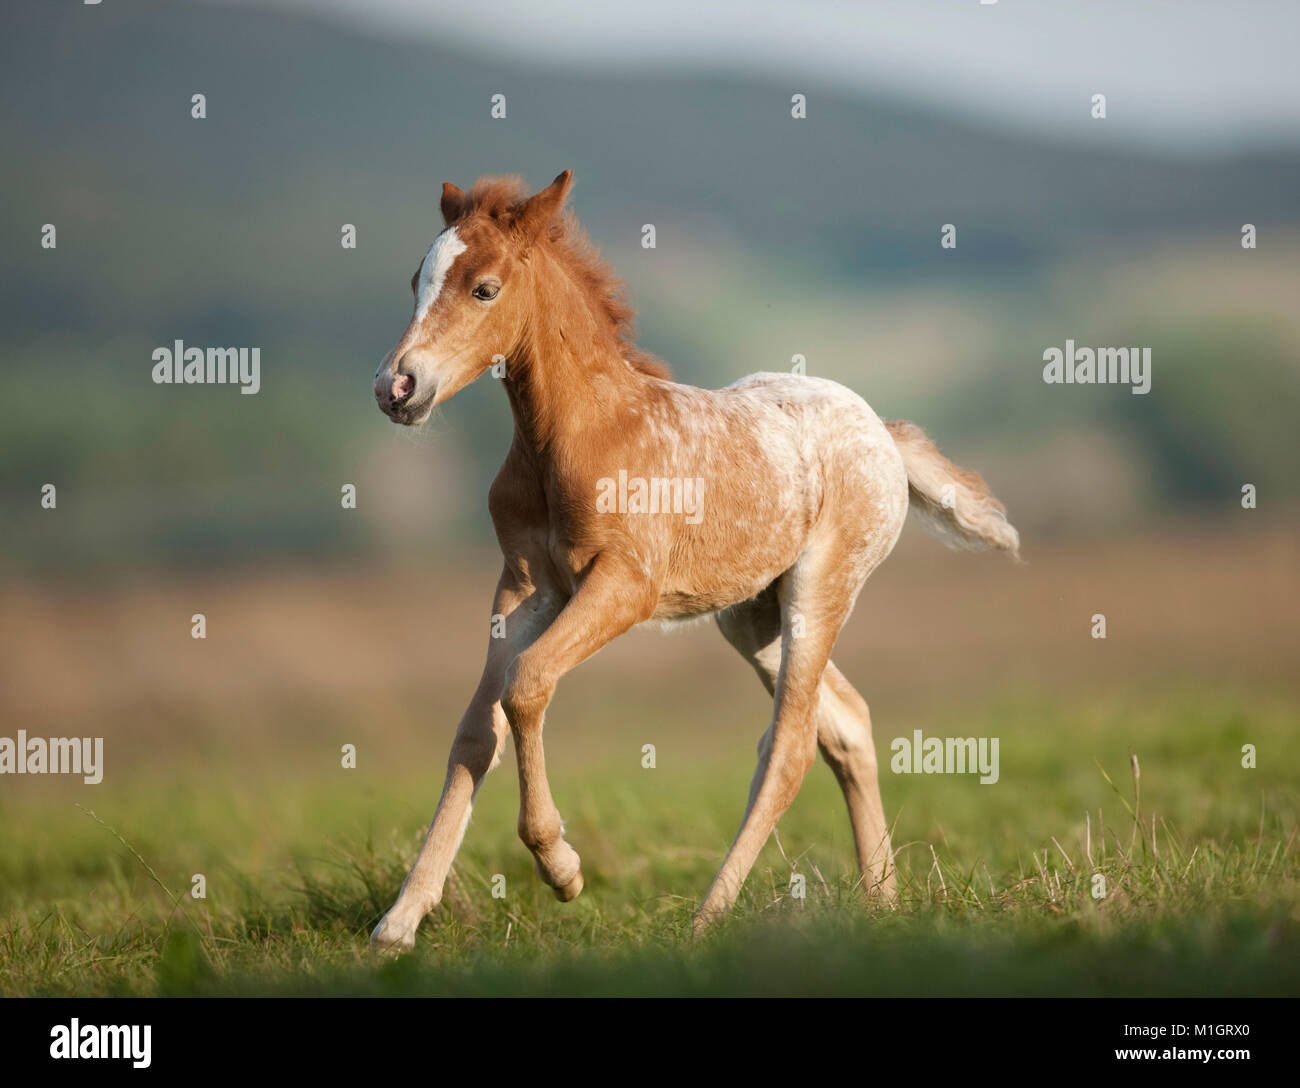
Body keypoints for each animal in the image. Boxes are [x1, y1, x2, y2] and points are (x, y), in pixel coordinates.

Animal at [369, 170, 1019, 953]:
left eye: (485, 289)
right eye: (416, 281)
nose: (396, 389)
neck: (576, 435)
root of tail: (882, 432)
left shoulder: (626, 587)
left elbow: (526, 686)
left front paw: (563, 869)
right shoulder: (523, 588)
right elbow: (476, 730)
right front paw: (399, 923)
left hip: (820, 590)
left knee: (790, 746)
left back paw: (709, 917)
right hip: (751, 616)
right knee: (845, 722)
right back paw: (883, 903)